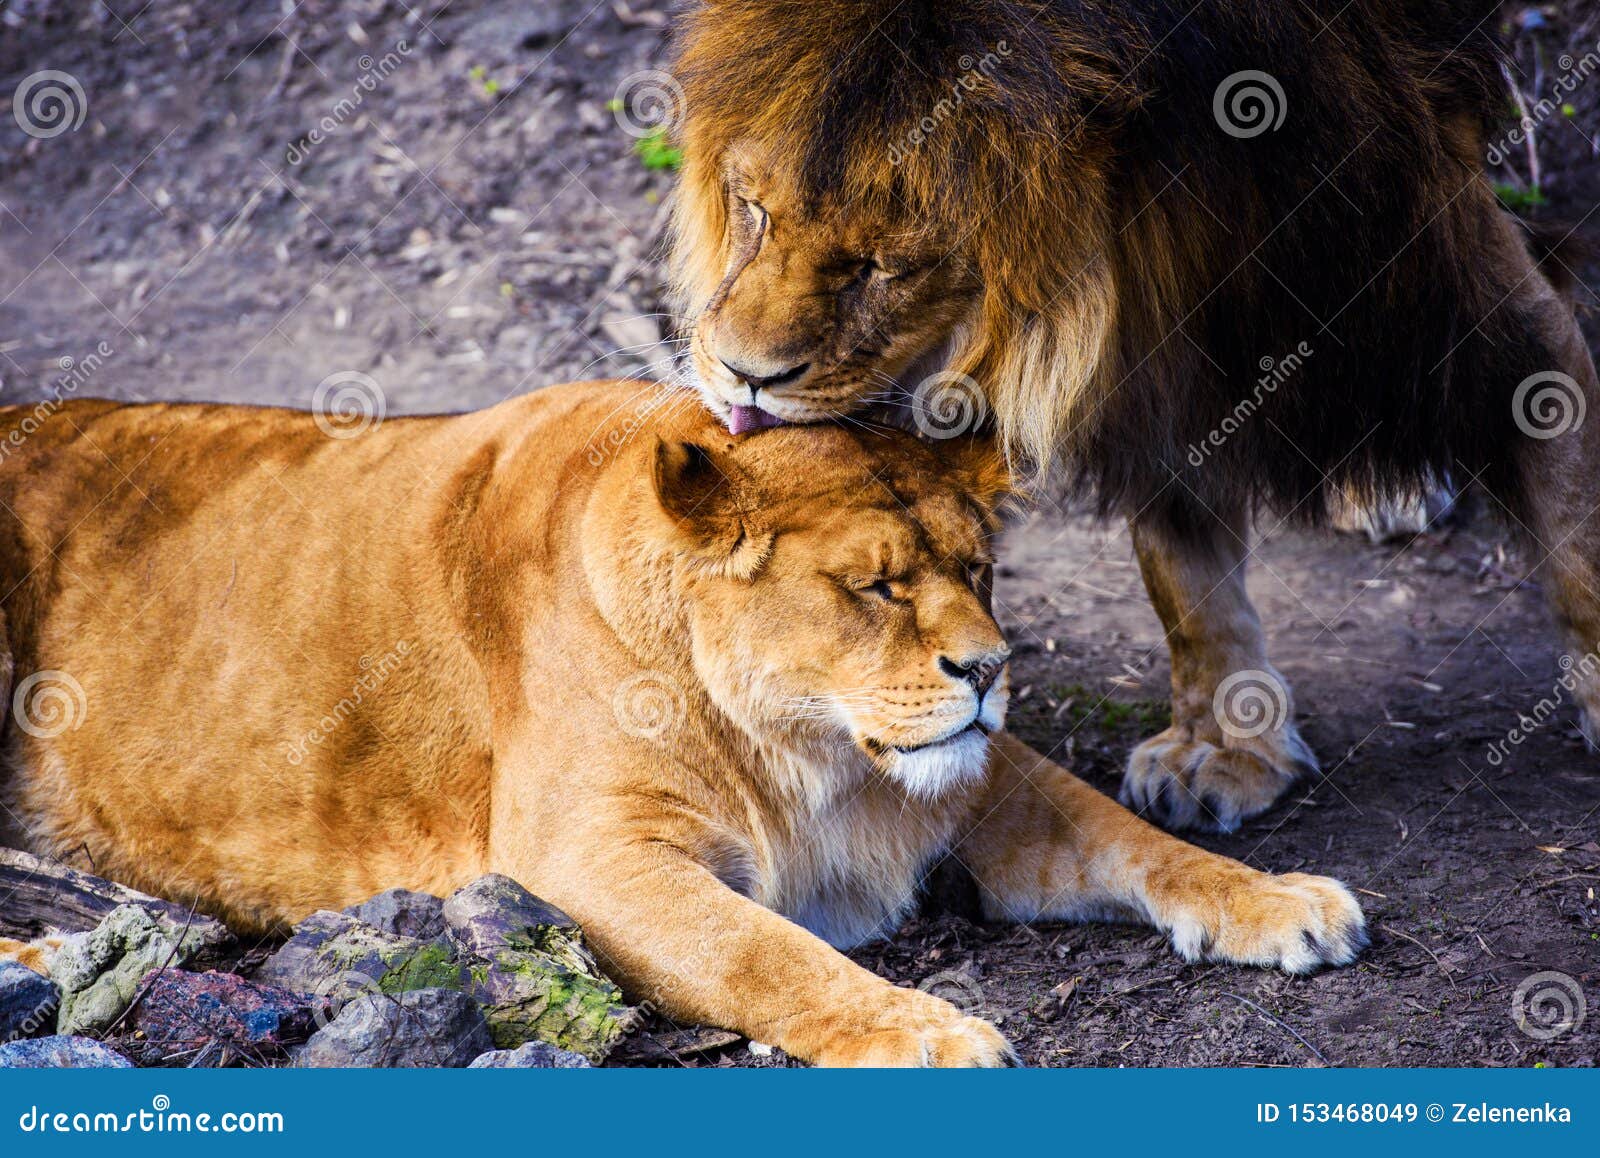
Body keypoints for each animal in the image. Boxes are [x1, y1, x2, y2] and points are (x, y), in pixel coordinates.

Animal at [0, 382, 1365, 1066]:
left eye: (979, 570)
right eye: (875, 586)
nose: (989, 669)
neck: (816, 753)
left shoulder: (972, 781)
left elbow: (1133, 840)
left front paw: (1279, 899)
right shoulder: (582, 856)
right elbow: (765, 954)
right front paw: (928, 1035)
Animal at [668, 0, 1600, 833]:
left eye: (881, 265)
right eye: (756, 210)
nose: (741, 376)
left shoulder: (1468, 288)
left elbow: (1571, 514)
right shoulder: (1157, 340)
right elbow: (1186, 578)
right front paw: (1227, 743)